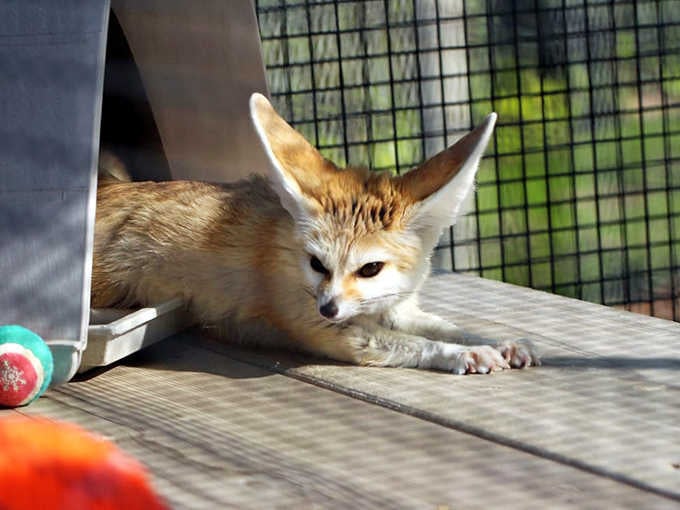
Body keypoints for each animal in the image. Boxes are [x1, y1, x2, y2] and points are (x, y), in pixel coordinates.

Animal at [91, 93, 538, 375]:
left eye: (370, 268)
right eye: (317, 264)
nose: (328, 308)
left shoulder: (393, 308)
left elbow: (444, 326)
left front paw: (496, 341)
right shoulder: (324, 330)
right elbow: (418, 343)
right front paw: (466, 353)